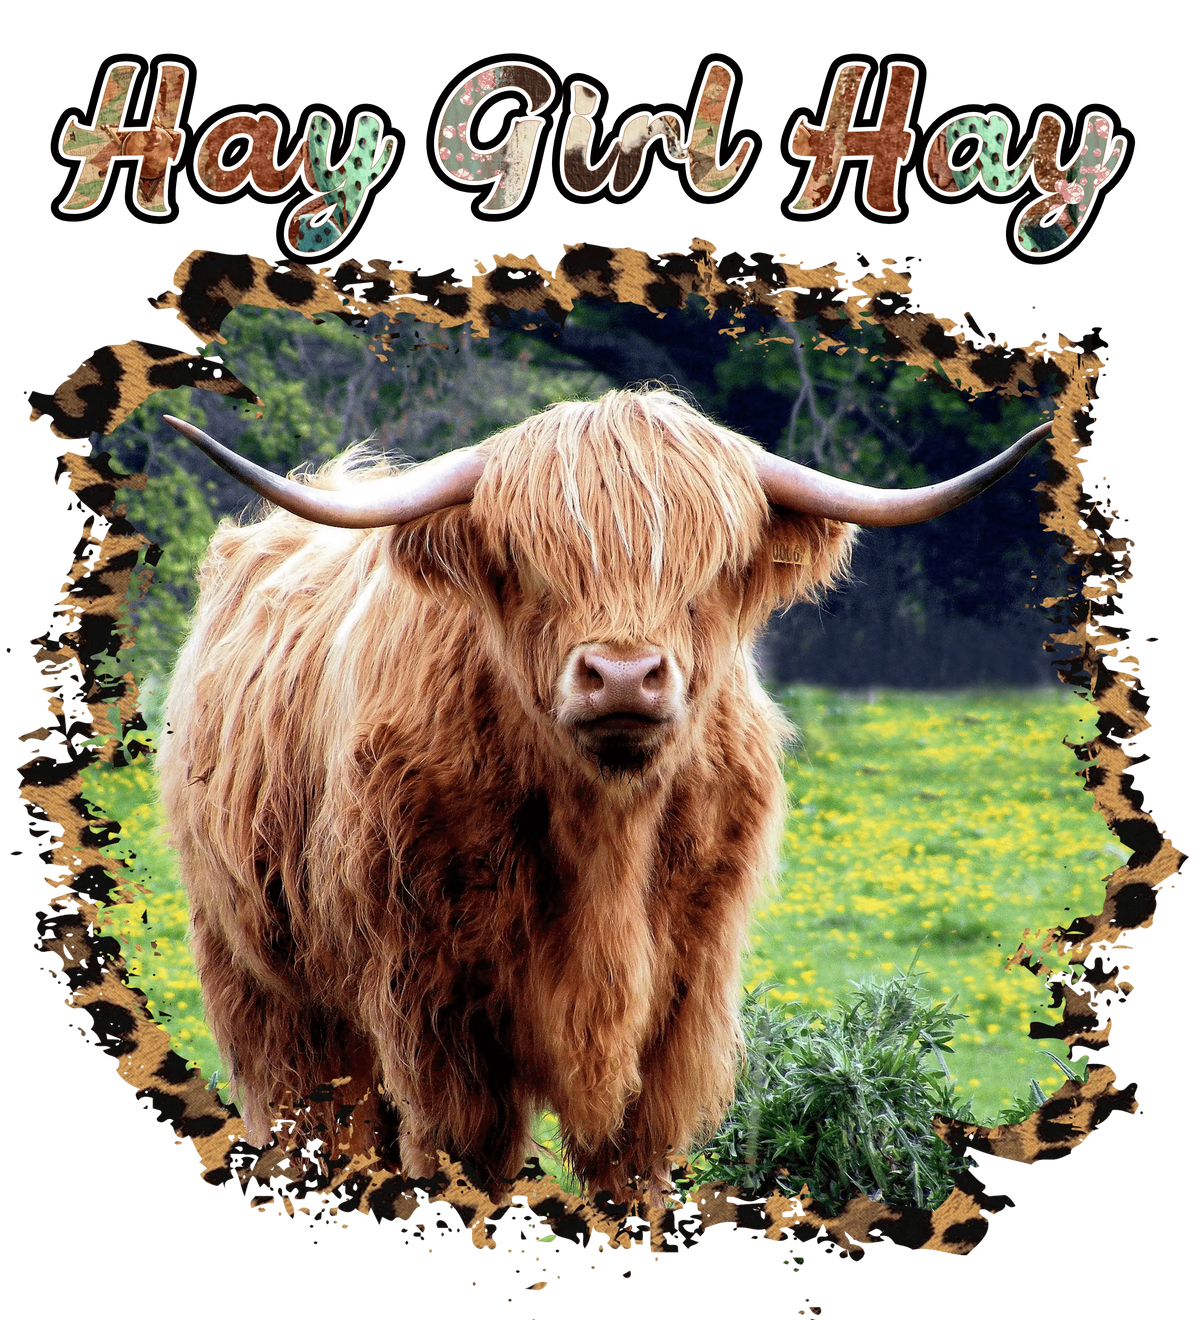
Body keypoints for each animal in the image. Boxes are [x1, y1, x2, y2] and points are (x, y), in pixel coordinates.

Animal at [158, 388, 1048, 1205]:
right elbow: (463, 1159)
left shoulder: (677, 1008)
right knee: (315, 1123)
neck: (605, 842)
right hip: (264, 985)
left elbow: (632, 1169)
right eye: (531, 567)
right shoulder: (435, 1014)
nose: (623, 675)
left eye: (707, 572)